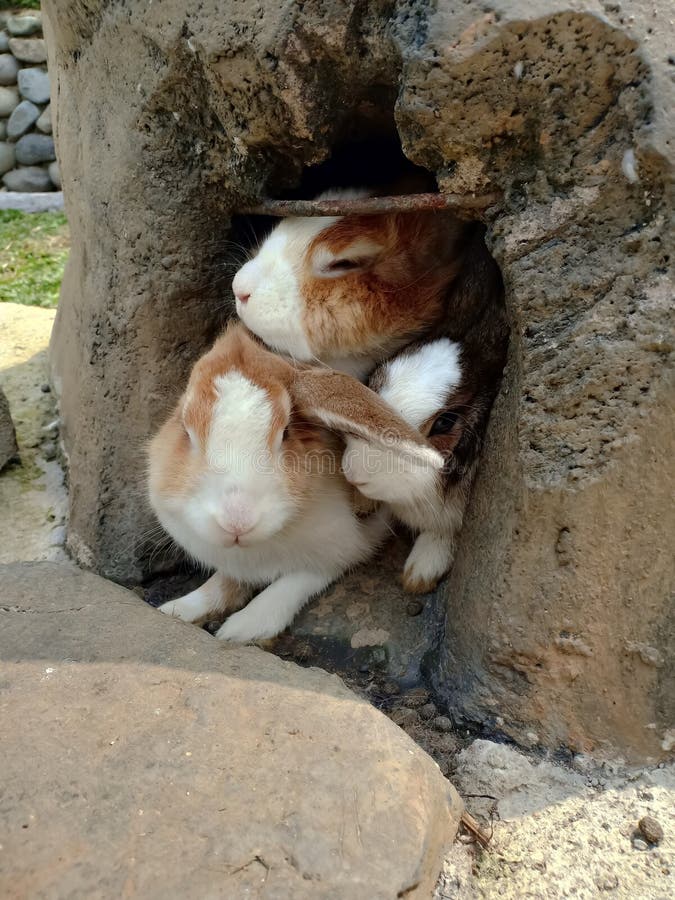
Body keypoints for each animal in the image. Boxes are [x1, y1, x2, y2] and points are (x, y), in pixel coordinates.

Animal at [148, 321, 444, 642]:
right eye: (184, 428)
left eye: (287, 431)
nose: (237, 521)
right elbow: (223, 582)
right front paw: (180, 608)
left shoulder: (346, 545)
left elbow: (299, 578)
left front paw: (246, 627)